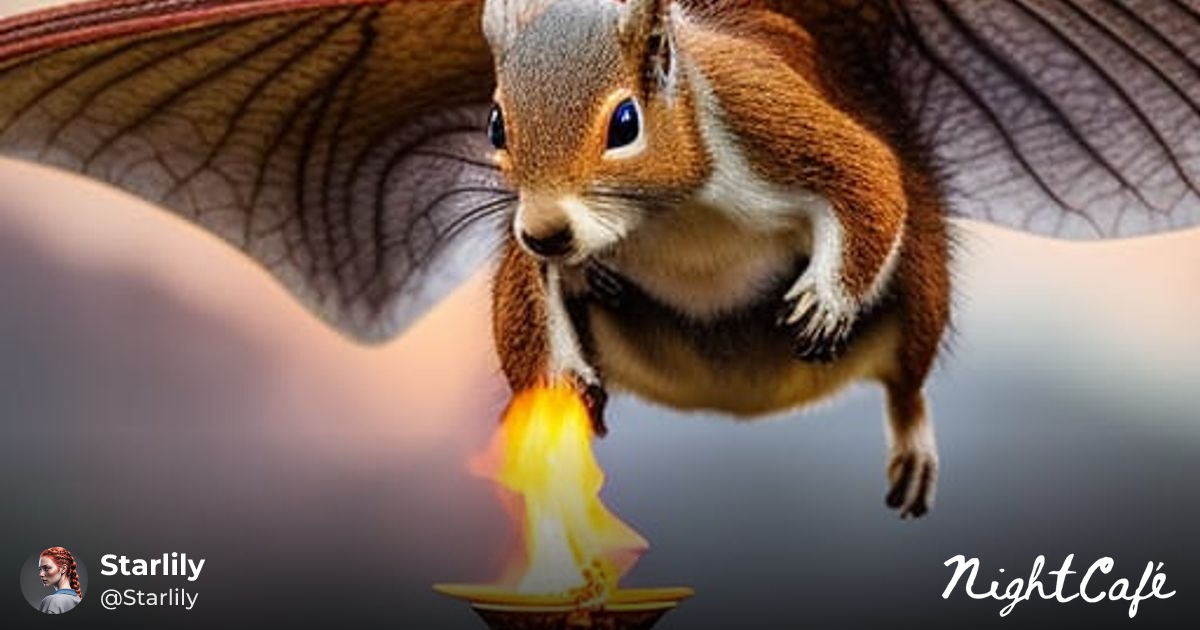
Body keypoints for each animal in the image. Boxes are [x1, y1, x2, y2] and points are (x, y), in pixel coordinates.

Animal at [484, 0, 949, 519]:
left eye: (625, 123)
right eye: (495, 125)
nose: (546, 234)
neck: (664, 205)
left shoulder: (757, 109)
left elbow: (867, 176)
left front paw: (828, 303)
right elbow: (527, 294)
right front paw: (561, 386)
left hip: (920, 285)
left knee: (906, 384)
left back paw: (912, 442)